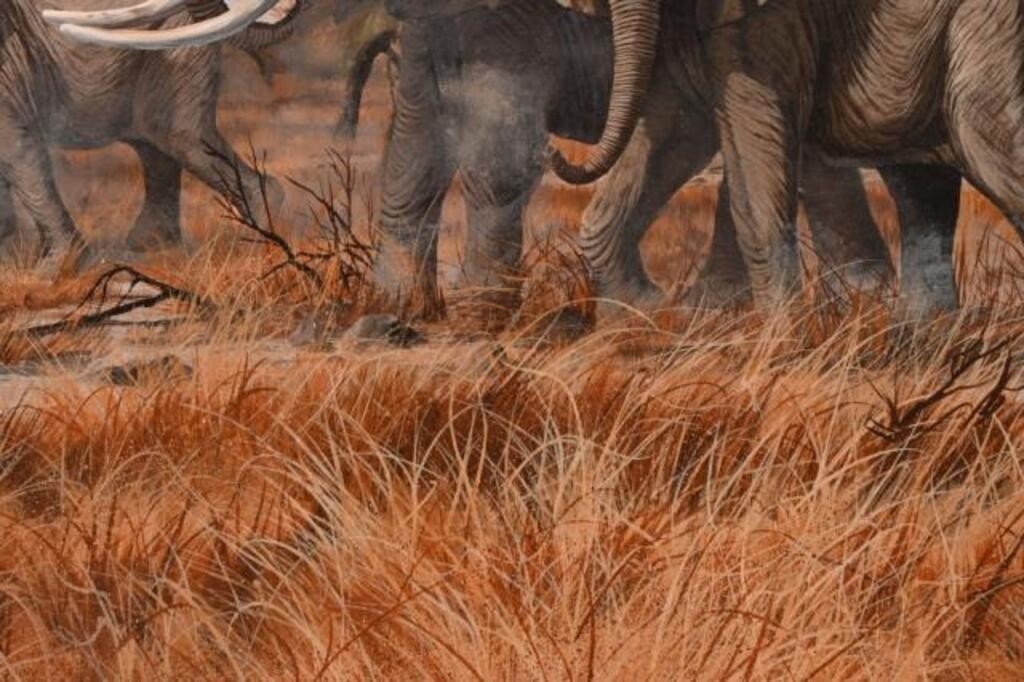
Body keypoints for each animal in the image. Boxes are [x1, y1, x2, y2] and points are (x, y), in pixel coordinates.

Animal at [0, 0, 300, 267]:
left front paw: (55, 271)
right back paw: (149, 244)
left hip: (177, 52)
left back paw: (261, 243)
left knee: (182, 139)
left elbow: (14, 147)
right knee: (154, 145)